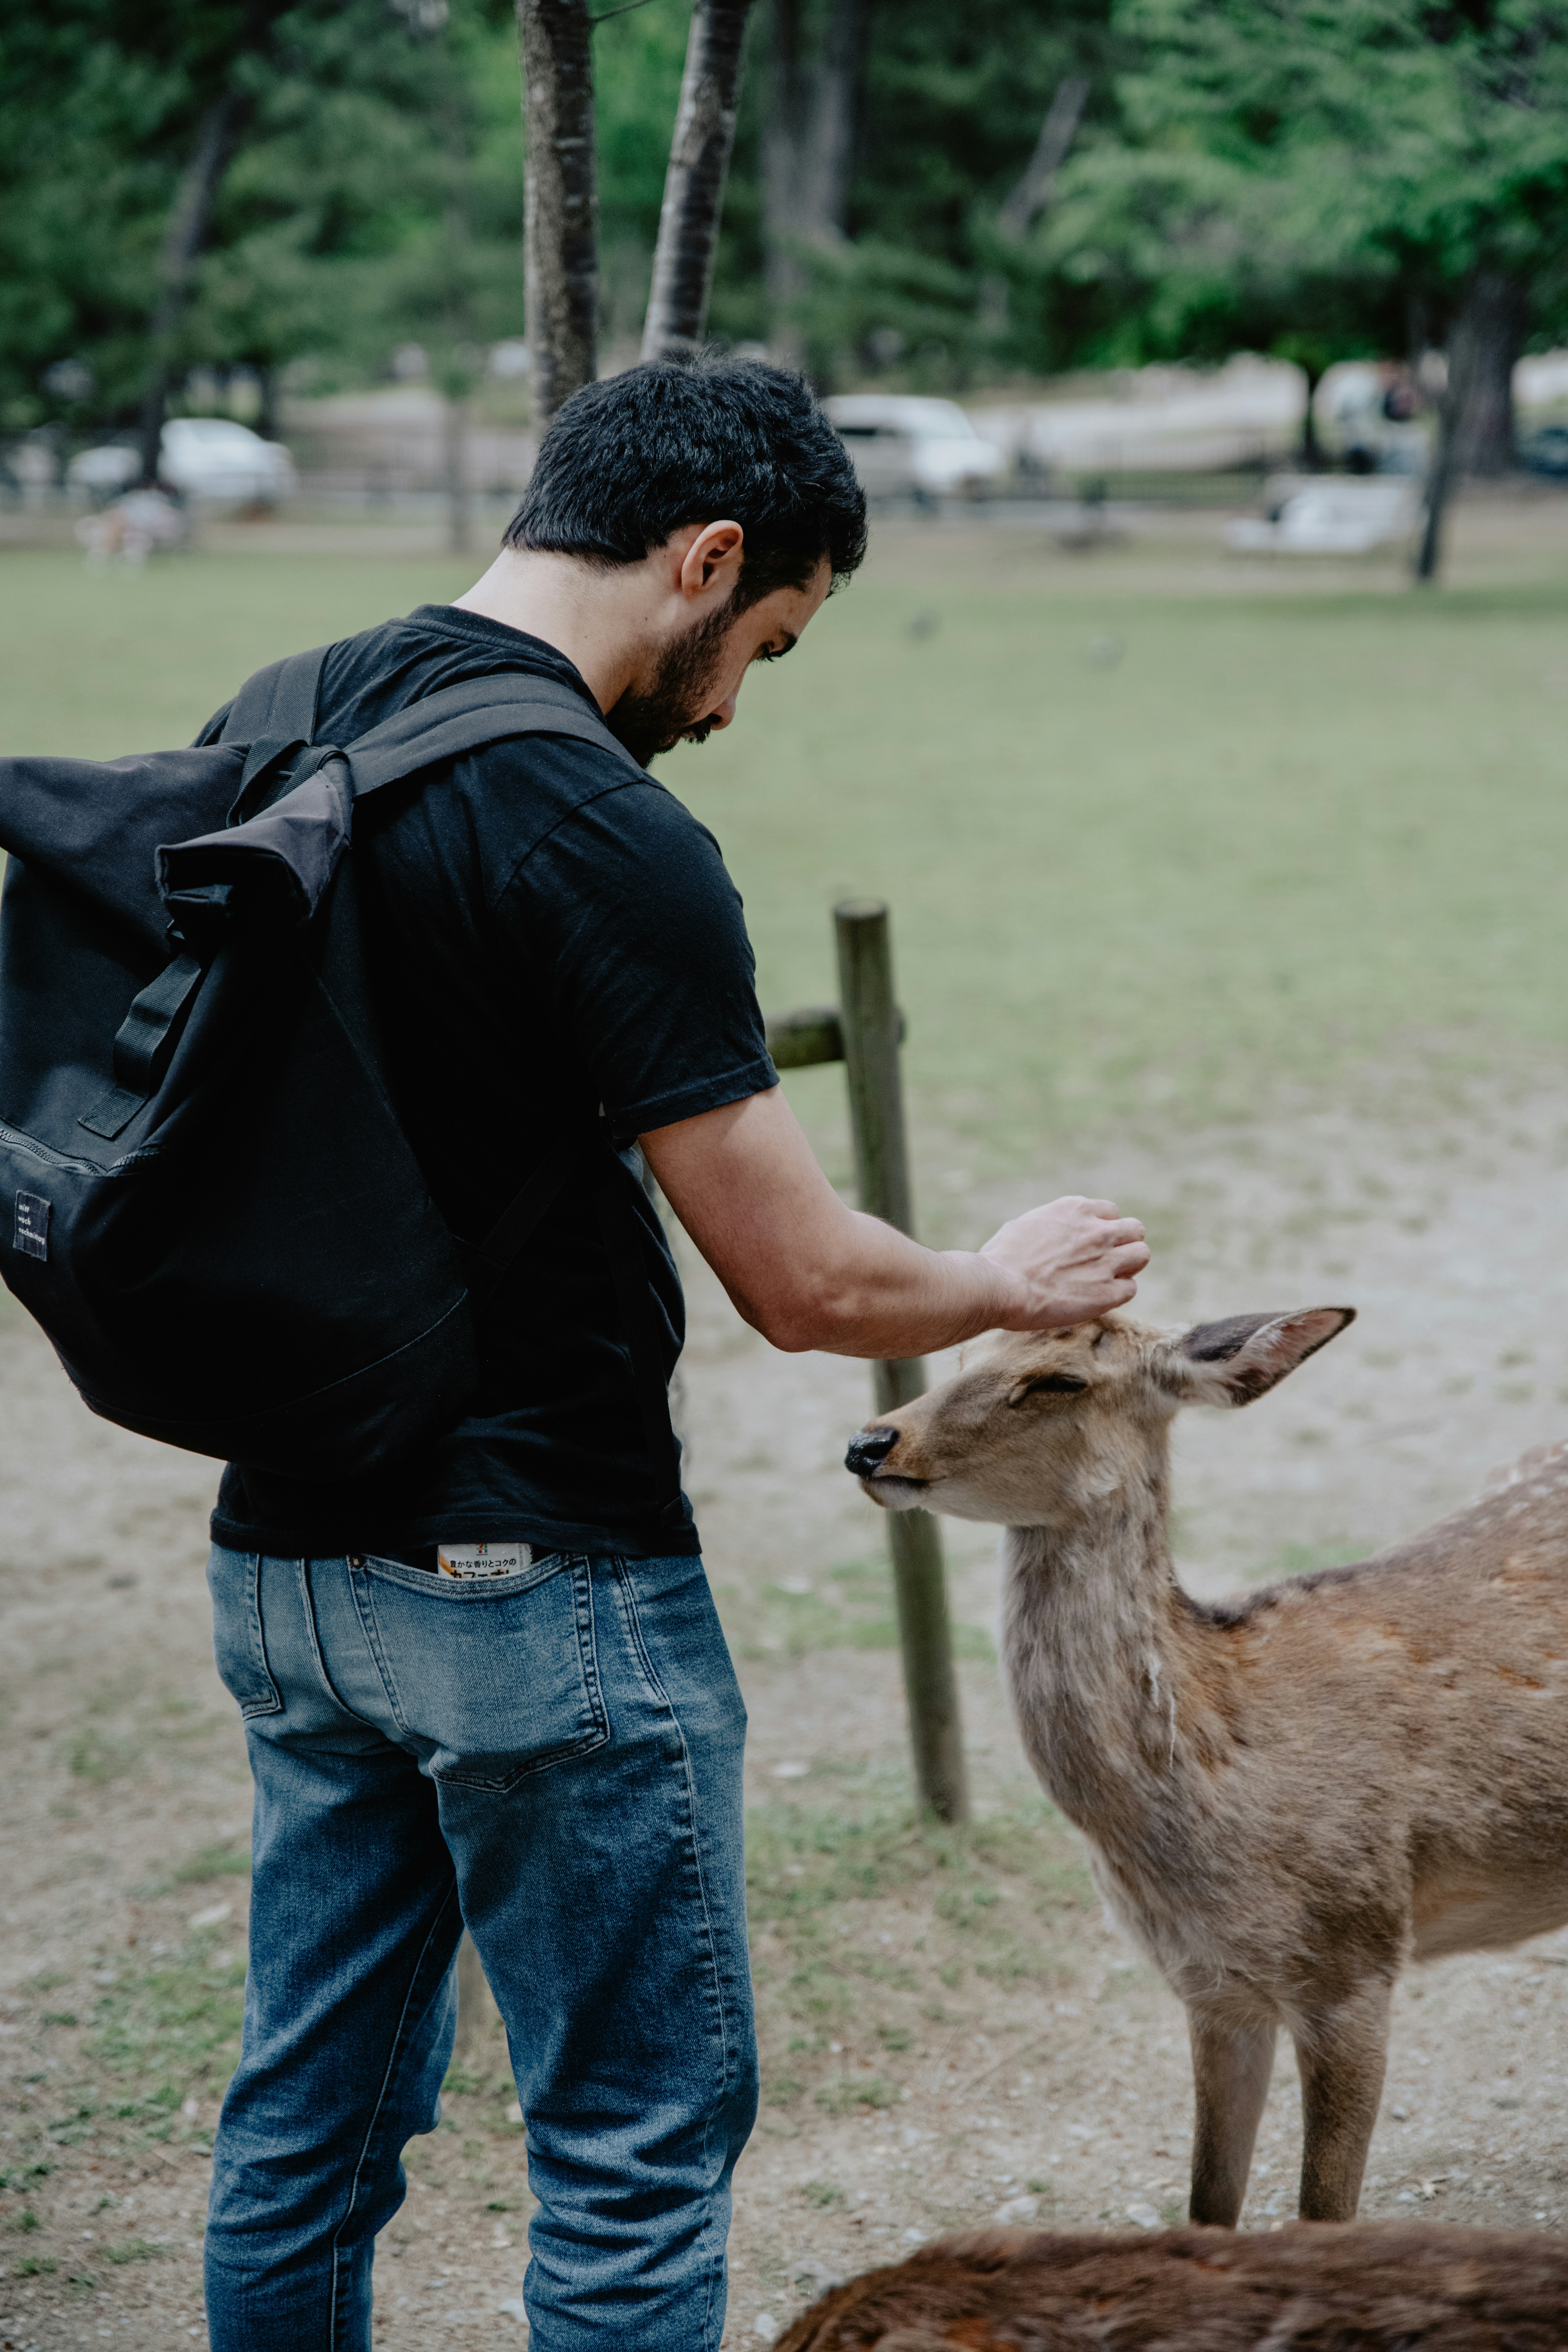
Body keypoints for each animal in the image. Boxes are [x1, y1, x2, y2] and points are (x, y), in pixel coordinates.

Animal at [844, 1307, 1568, 2229]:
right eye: (970, 1347)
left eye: (1057, 1381)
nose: (871, 1443)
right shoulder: (1208, 1986)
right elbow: (1206, 2205)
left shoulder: (1357, 1958)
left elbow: (1321, 2214)